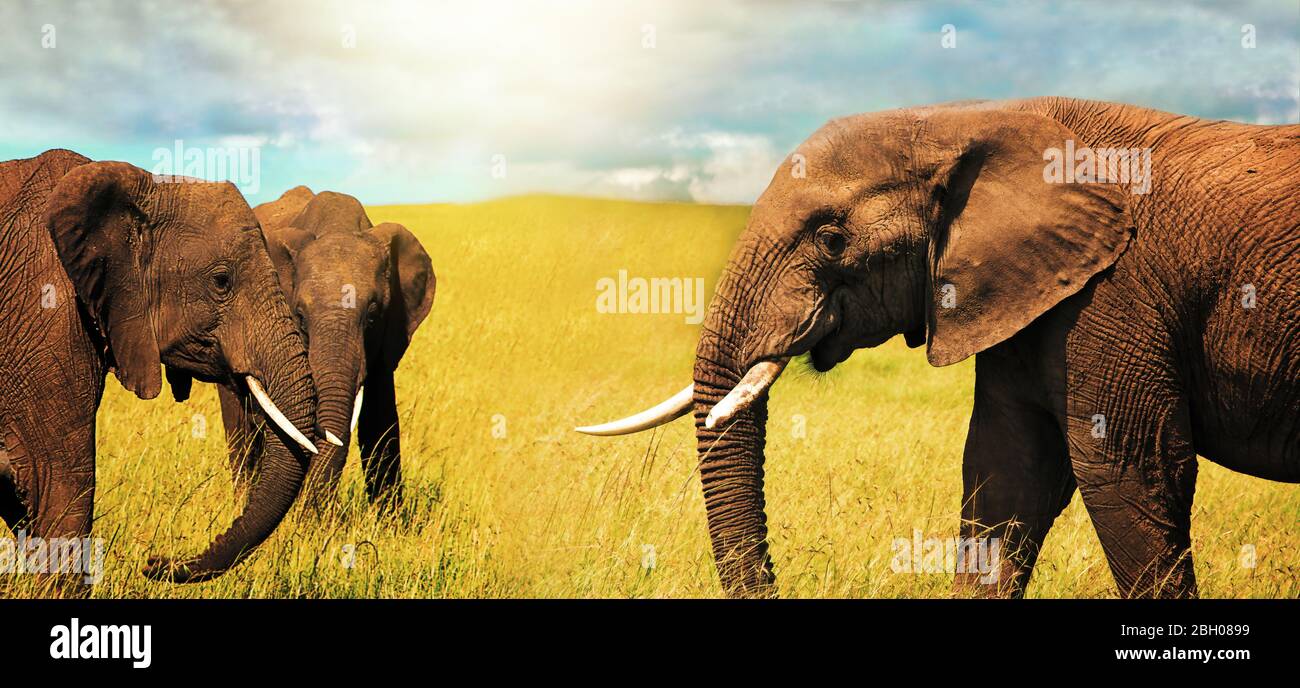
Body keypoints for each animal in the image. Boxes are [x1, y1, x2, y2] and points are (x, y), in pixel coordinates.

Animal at [578, 97, 1300, 598]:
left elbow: (1130, 469)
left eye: (832, 239)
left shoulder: (1117, 294)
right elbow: (1006, 473)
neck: (972, 118)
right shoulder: (1027, 291)